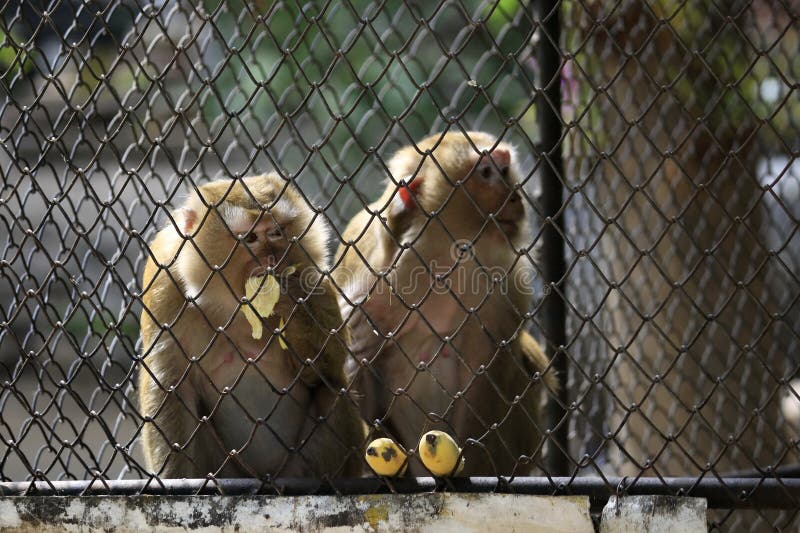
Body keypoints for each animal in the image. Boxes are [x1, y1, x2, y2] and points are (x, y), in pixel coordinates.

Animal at [138, 174, 365, 479]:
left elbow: (322, 371)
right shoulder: (165, 284)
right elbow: (171, 387)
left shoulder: (310, 274)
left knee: (333, 392)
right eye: (250, 238)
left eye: (276, 232)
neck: (233, 304)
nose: (270, 260)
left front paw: (292, 305)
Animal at [333, 131, 557, 476]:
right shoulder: (366, 269)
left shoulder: (506, 280)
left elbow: (485, 375)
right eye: (487, 173)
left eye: (504, 170)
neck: (441, 259)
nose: (516, 197)